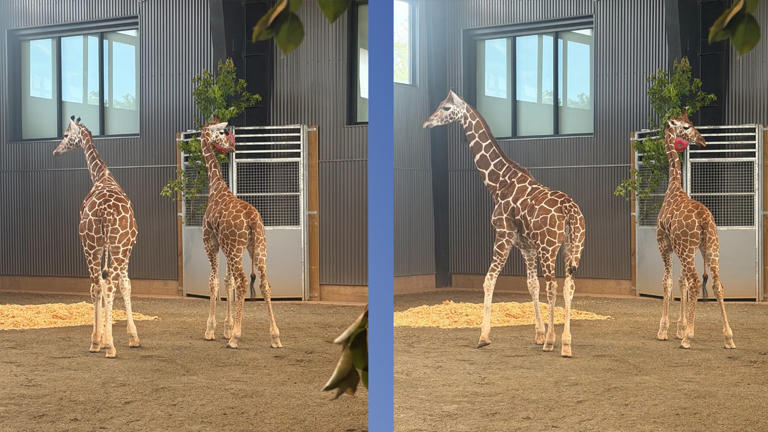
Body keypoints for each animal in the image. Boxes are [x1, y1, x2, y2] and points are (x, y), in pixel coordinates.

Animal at [53, 116, 140, 358]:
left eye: (65, 135)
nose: (55, 151)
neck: (102, 176)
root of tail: (105, 212)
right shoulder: (124, 247)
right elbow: (125, 284)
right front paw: (133, 337)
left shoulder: (107, 248)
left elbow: (111, 284)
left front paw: (106, 338)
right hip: (116, 245)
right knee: (108, 284)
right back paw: (109, 345)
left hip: (90, 245)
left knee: (96, 285)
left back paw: (97, 342)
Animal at [199, 120, 282, 349]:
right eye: (222, 132)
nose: (232, 147)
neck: (216, 187)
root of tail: (252, 219)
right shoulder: (225, 246)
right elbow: (228, 281)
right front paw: (226, 327)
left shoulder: (211, 242)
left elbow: (214, 282)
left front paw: (212, 330)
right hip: (258, 247)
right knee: (264, 283)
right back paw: (275, 337)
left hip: (237, 249)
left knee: (244, 282)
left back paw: (235, 337)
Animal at [423, 91, 586, 357]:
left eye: (446, 108)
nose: (427, 122)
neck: (499, 183)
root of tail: (569, 210)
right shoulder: (526, 246)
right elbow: (531, 285)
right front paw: (538, 334)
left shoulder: (503, 234)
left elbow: (489, 280)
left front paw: (483, 336)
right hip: (573, 246)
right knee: (568, 285)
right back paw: (565, 343)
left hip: (549, 247)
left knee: (553, 285)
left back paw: (553, 341)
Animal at [655, 111, 735, 350]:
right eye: (686, 126)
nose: (702, 140)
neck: (673, 188)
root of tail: (704, 220)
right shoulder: (678, 248)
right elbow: (681, 282)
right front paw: (679, 328)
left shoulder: (664, 244)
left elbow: (668, 282)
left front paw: (665, 330)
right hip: (710, 247)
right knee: (717, 284)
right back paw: (728, 337)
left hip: (687, 249)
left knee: (697, 281)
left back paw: (688, 337)